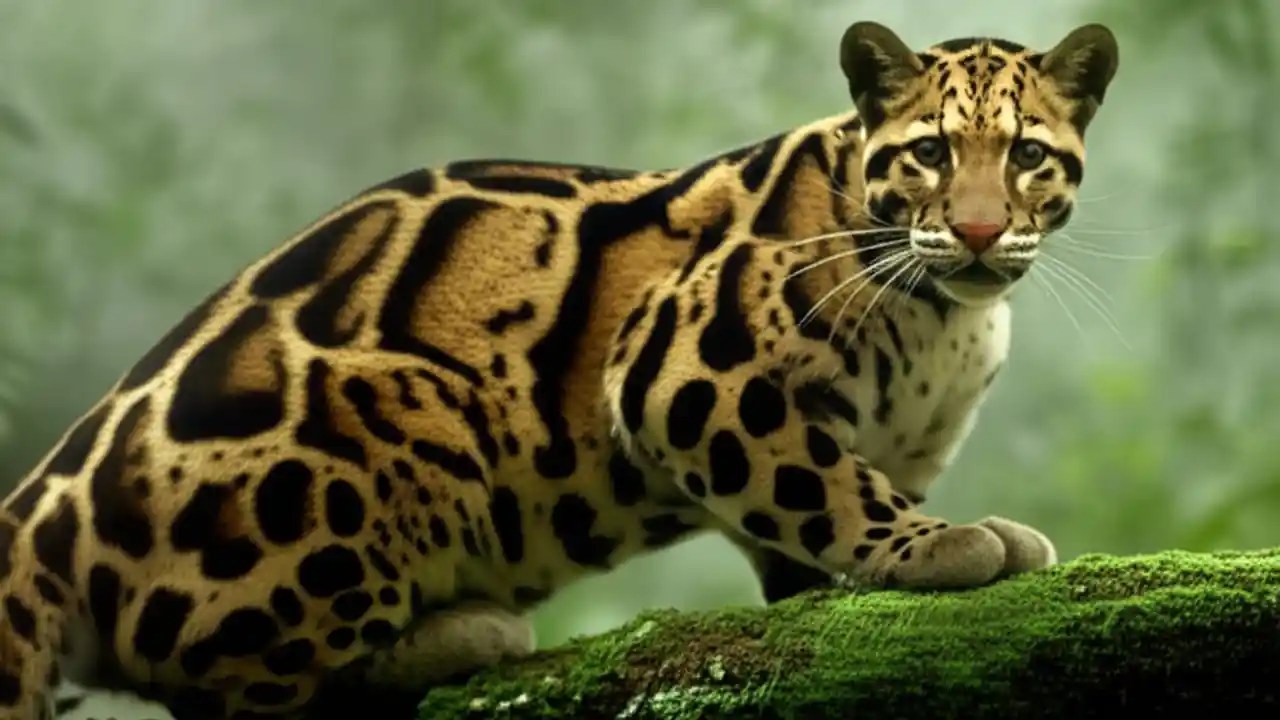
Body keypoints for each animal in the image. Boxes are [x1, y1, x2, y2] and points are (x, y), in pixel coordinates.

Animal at [0, 19, 1118, 720]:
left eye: (1026, 157)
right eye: (928, 154)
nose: (978, 230)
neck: (953, 316)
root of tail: (42, 505)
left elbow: (805, 526)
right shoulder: (687, 370)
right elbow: (823, 484)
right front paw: (930, 545)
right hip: (393, 432)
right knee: (229, 680)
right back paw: (465, 634)